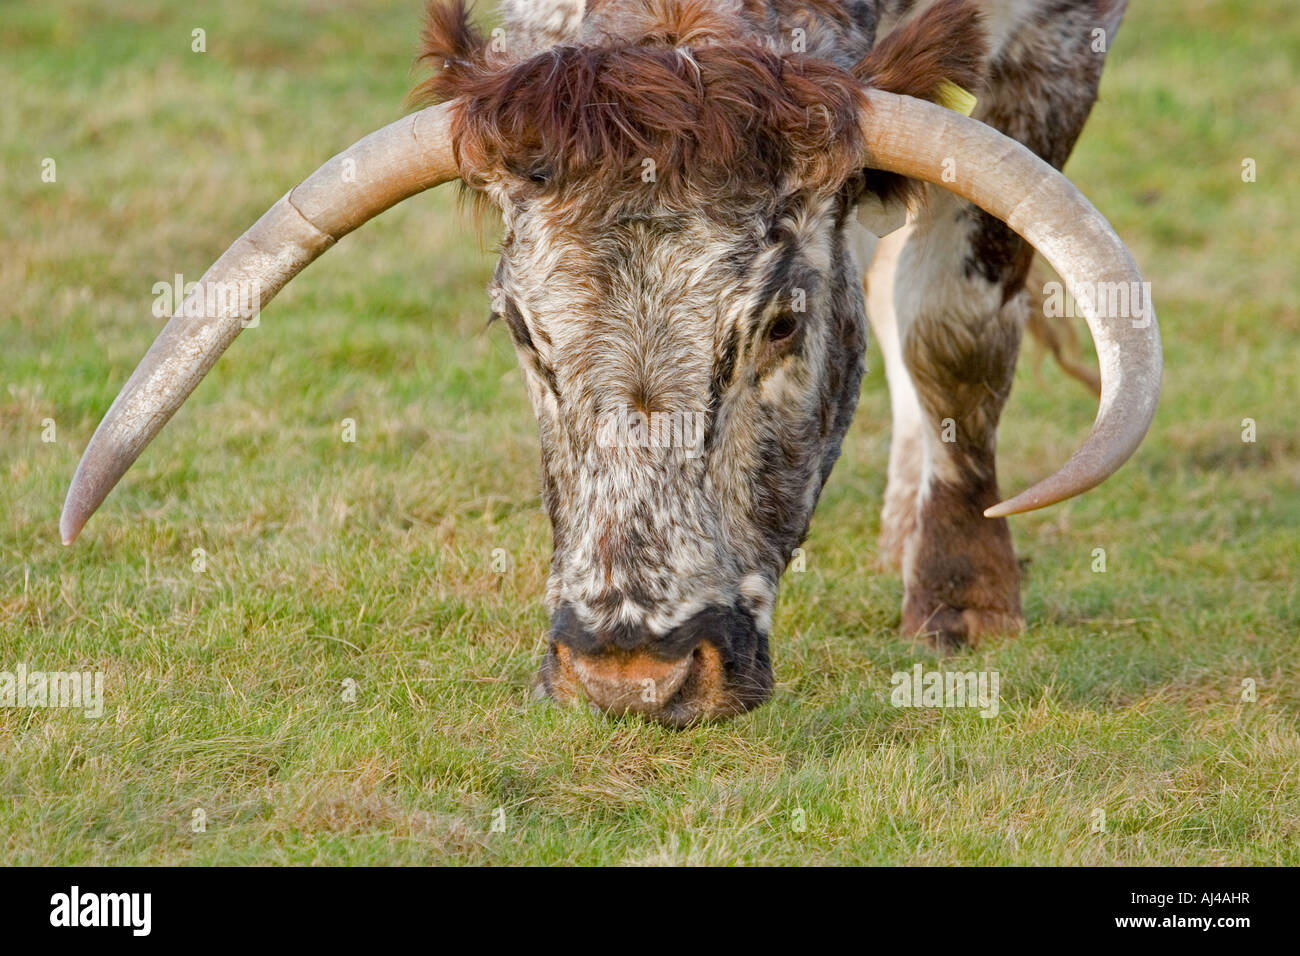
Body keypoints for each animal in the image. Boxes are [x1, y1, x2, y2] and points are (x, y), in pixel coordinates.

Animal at [60, 0, 1161, 725]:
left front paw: (966, 594)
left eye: (781, 324)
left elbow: (954, 318)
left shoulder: (1060, 39)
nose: (631, 675)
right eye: (519, 329)